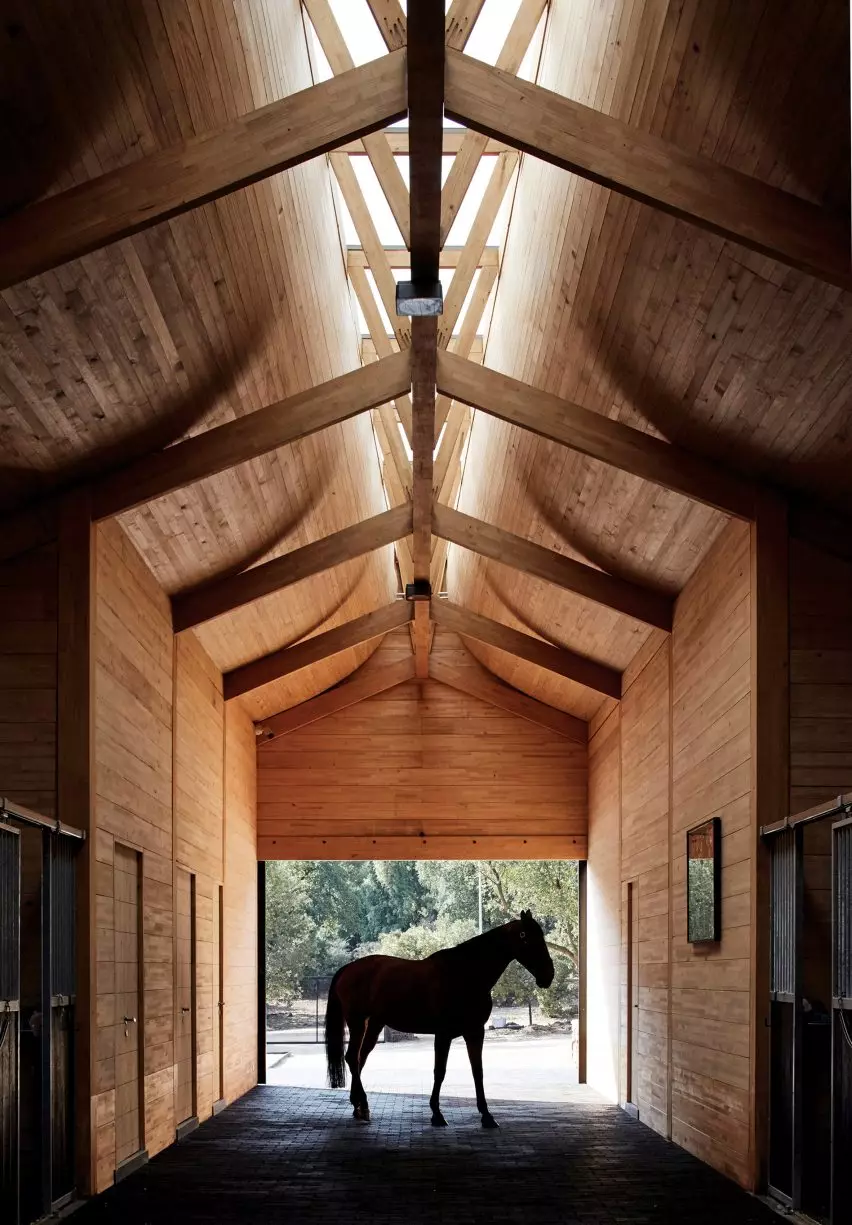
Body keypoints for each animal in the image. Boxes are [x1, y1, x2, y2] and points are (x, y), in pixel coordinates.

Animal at [323, 911, 555, 1127]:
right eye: (526, 937)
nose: (548, 975)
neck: (466, 974)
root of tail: (347, 969)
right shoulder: (443, 1034)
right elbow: (439, 1071)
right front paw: (436, 1113)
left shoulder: (475, 1032)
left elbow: (477, 1071)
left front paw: (487, 1116)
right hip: (357, 1022)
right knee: (352, 1058)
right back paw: (362, 1104)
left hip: (373, 1024)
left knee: (360, 1058)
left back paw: (358, 1106)